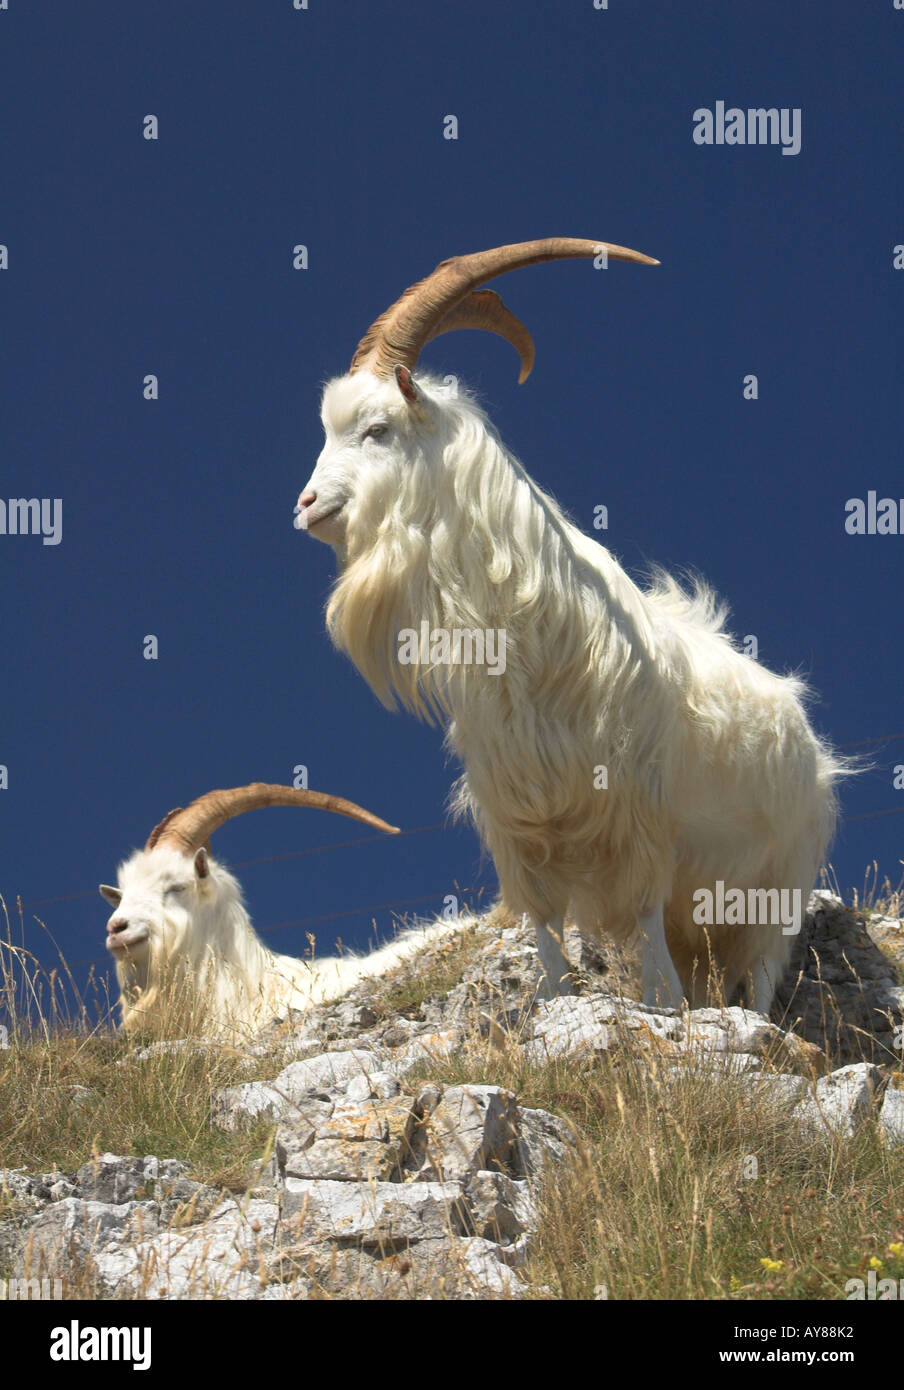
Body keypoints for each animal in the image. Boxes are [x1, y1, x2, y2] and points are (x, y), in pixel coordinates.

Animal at [294, 237, 846, 1012]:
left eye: (377, 430)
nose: (306, 505)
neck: (529, 624)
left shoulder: (636, 826)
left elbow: (647, 938)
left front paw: (661, 1013)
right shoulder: (523, 828)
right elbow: (548, 940)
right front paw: (559, 1006)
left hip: (780, 885)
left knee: (761, 977)